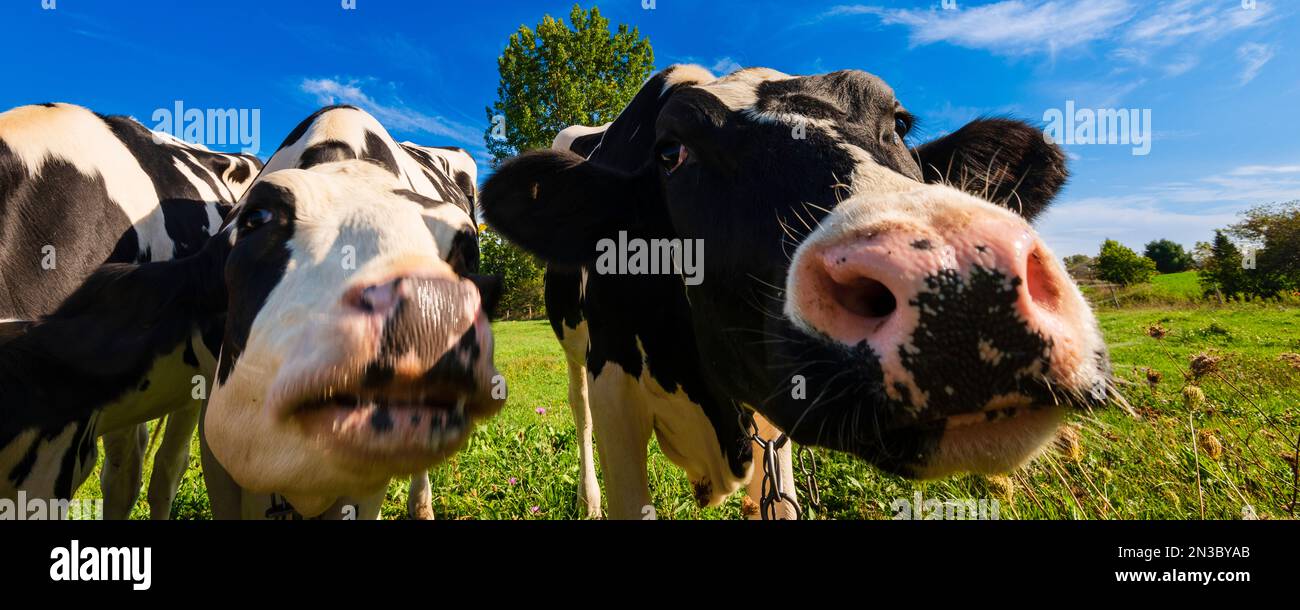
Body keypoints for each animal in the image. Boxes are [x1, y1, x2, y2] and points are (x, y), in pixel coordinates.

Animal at [481, 65, 1115, 519]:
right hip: (575, 352)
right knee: (578, 410)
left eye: (899, 122)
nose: (962, 289)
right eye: (671, 153)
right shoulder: (616, 390)